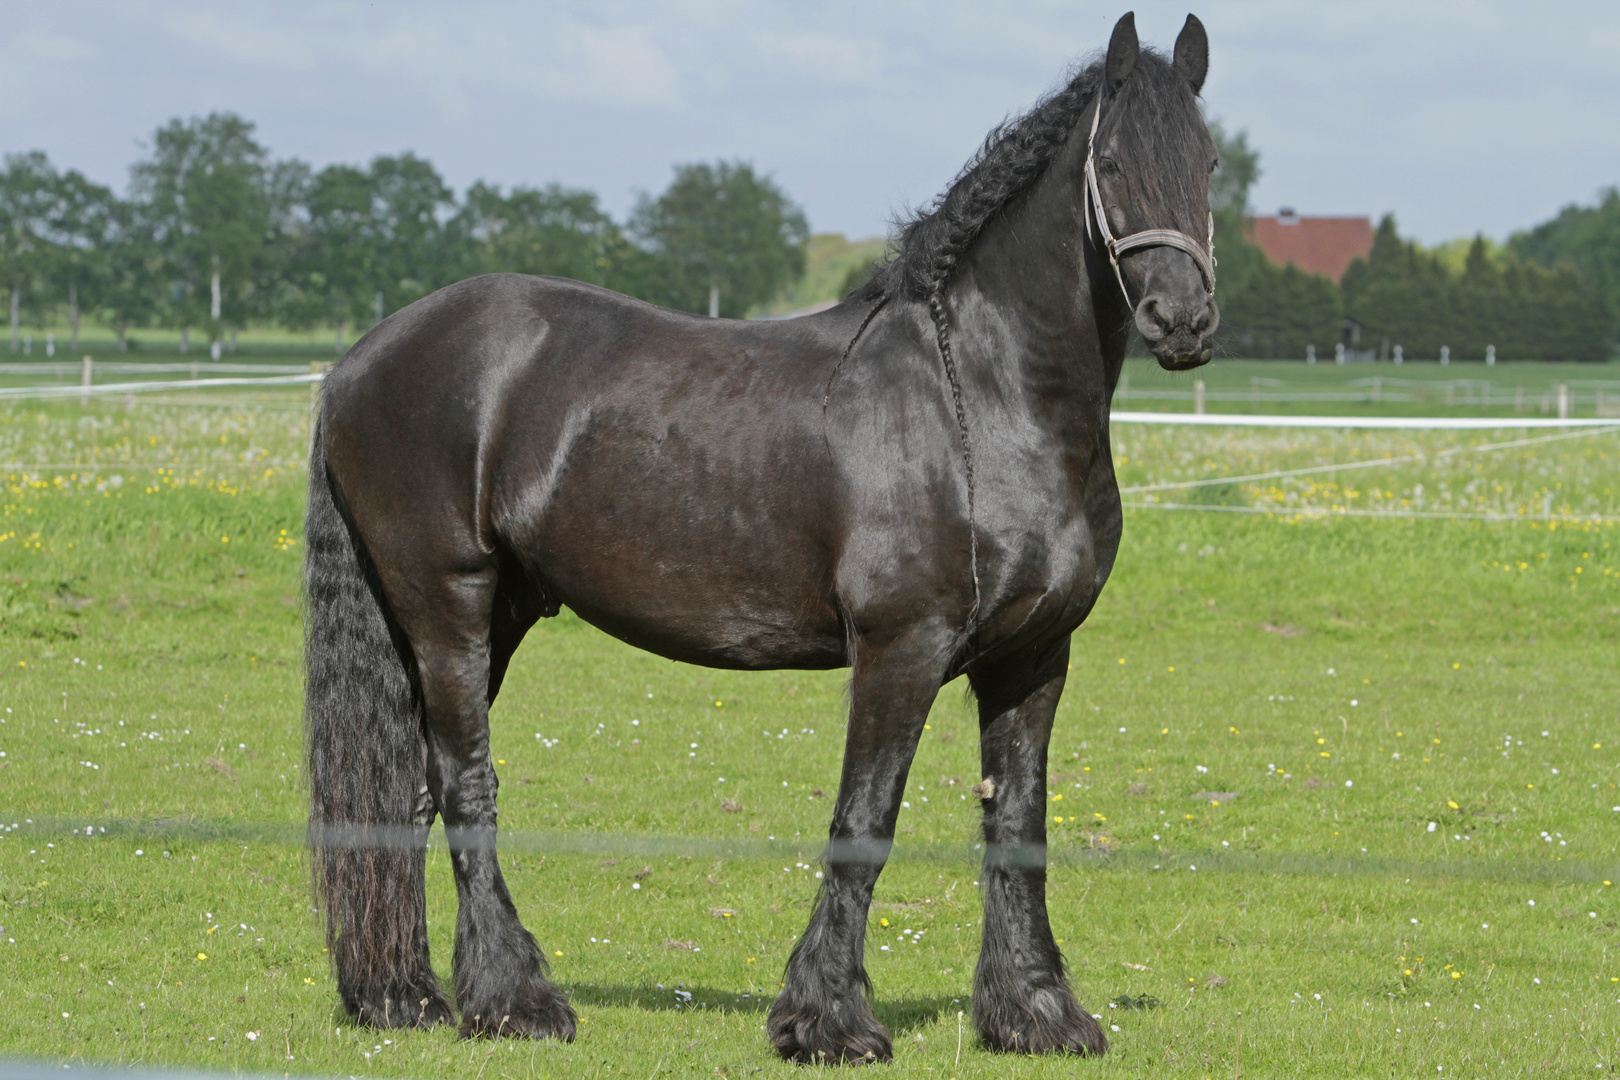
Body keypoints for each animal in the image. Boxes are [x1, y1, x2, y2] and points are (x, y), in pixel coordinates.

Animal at [304, 10, 1218, 1064]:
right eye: (1110, 163)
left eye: (1209, 162)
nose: (1183, 320)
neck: (984, 398)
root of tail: (358, 361)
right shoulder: (901, 648)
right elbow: (865, 820)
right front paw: (827, 1021)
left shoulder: (1032, 658)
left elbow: (1018, 825)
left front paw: (1035, 1013)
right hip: (447, 608)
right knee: (462, 785)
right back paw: (514, 1001)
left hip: (492, 617)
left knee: (412, 793)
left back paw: (401, 995)